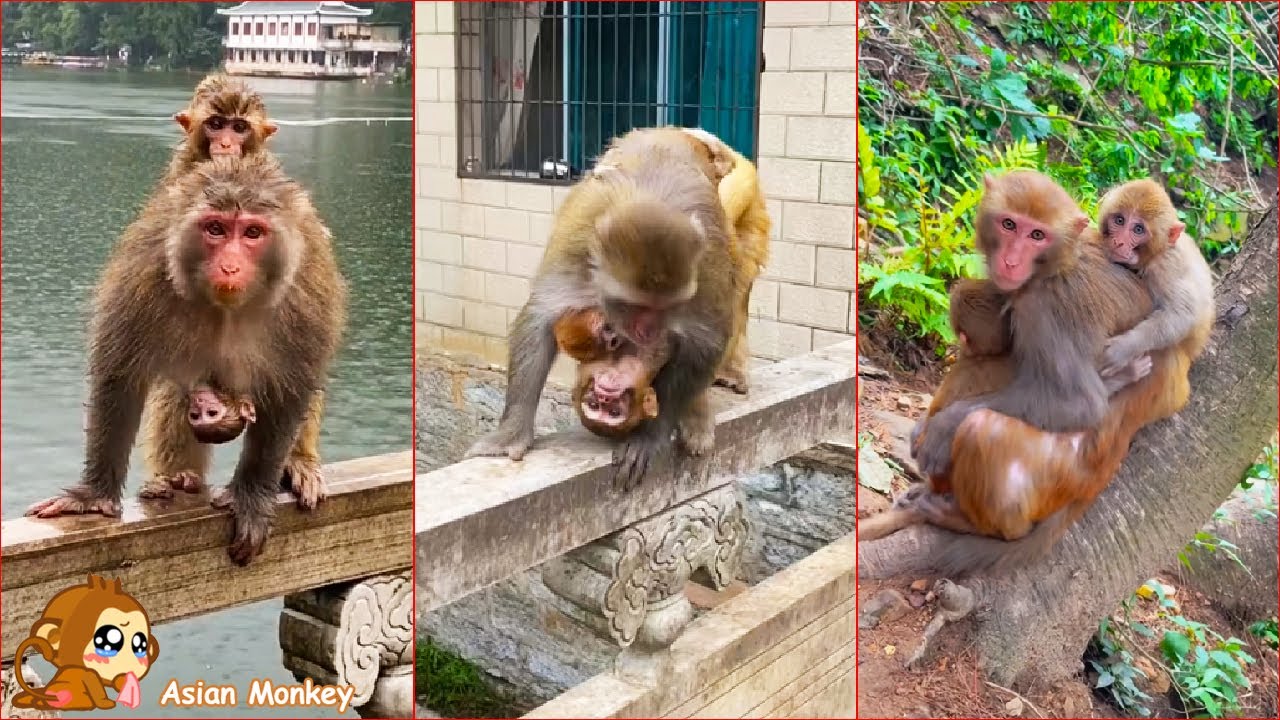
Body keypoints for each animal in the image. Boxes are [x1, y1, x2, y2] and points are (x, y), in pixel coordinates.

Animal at [25, 153, 347, 566]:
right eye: (215, 229)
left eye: (252, 233)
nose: (230, 266)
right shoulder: (144, 275)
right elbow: (121, 375)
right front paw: (93, 495)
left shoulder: (306, 298)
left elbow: (290, 389)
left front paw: (251, 496)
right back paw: (178, 477)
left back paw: (298, 462)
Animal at [466, 126, 736, 488]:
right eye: (636, 305)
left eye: (667, 307)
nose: (649, 330)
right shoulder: (577, 250)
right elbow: (540, 319)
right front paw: (510, 434)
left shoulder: (705, 269)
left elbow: (706, 342)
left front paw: (649, 435)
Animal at [866, 171, 1193, 574]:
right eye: (1009, 225)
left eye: (1037, 235)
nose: (1010, 260)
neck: (1057, 263)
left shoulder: (1044, 306)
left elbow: (1080, 404)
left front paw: (940, 427)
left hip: (1053, 477)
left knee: (983, 428)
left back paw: (973, 521)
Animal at [1095, 178, 1215, 414]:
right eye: (1120, 220)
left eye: (1138, 229)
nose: (1119, 242)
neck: (1156, 253)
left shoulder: (1166, 267)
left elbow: (1182, 315)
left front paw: (1123, 349)